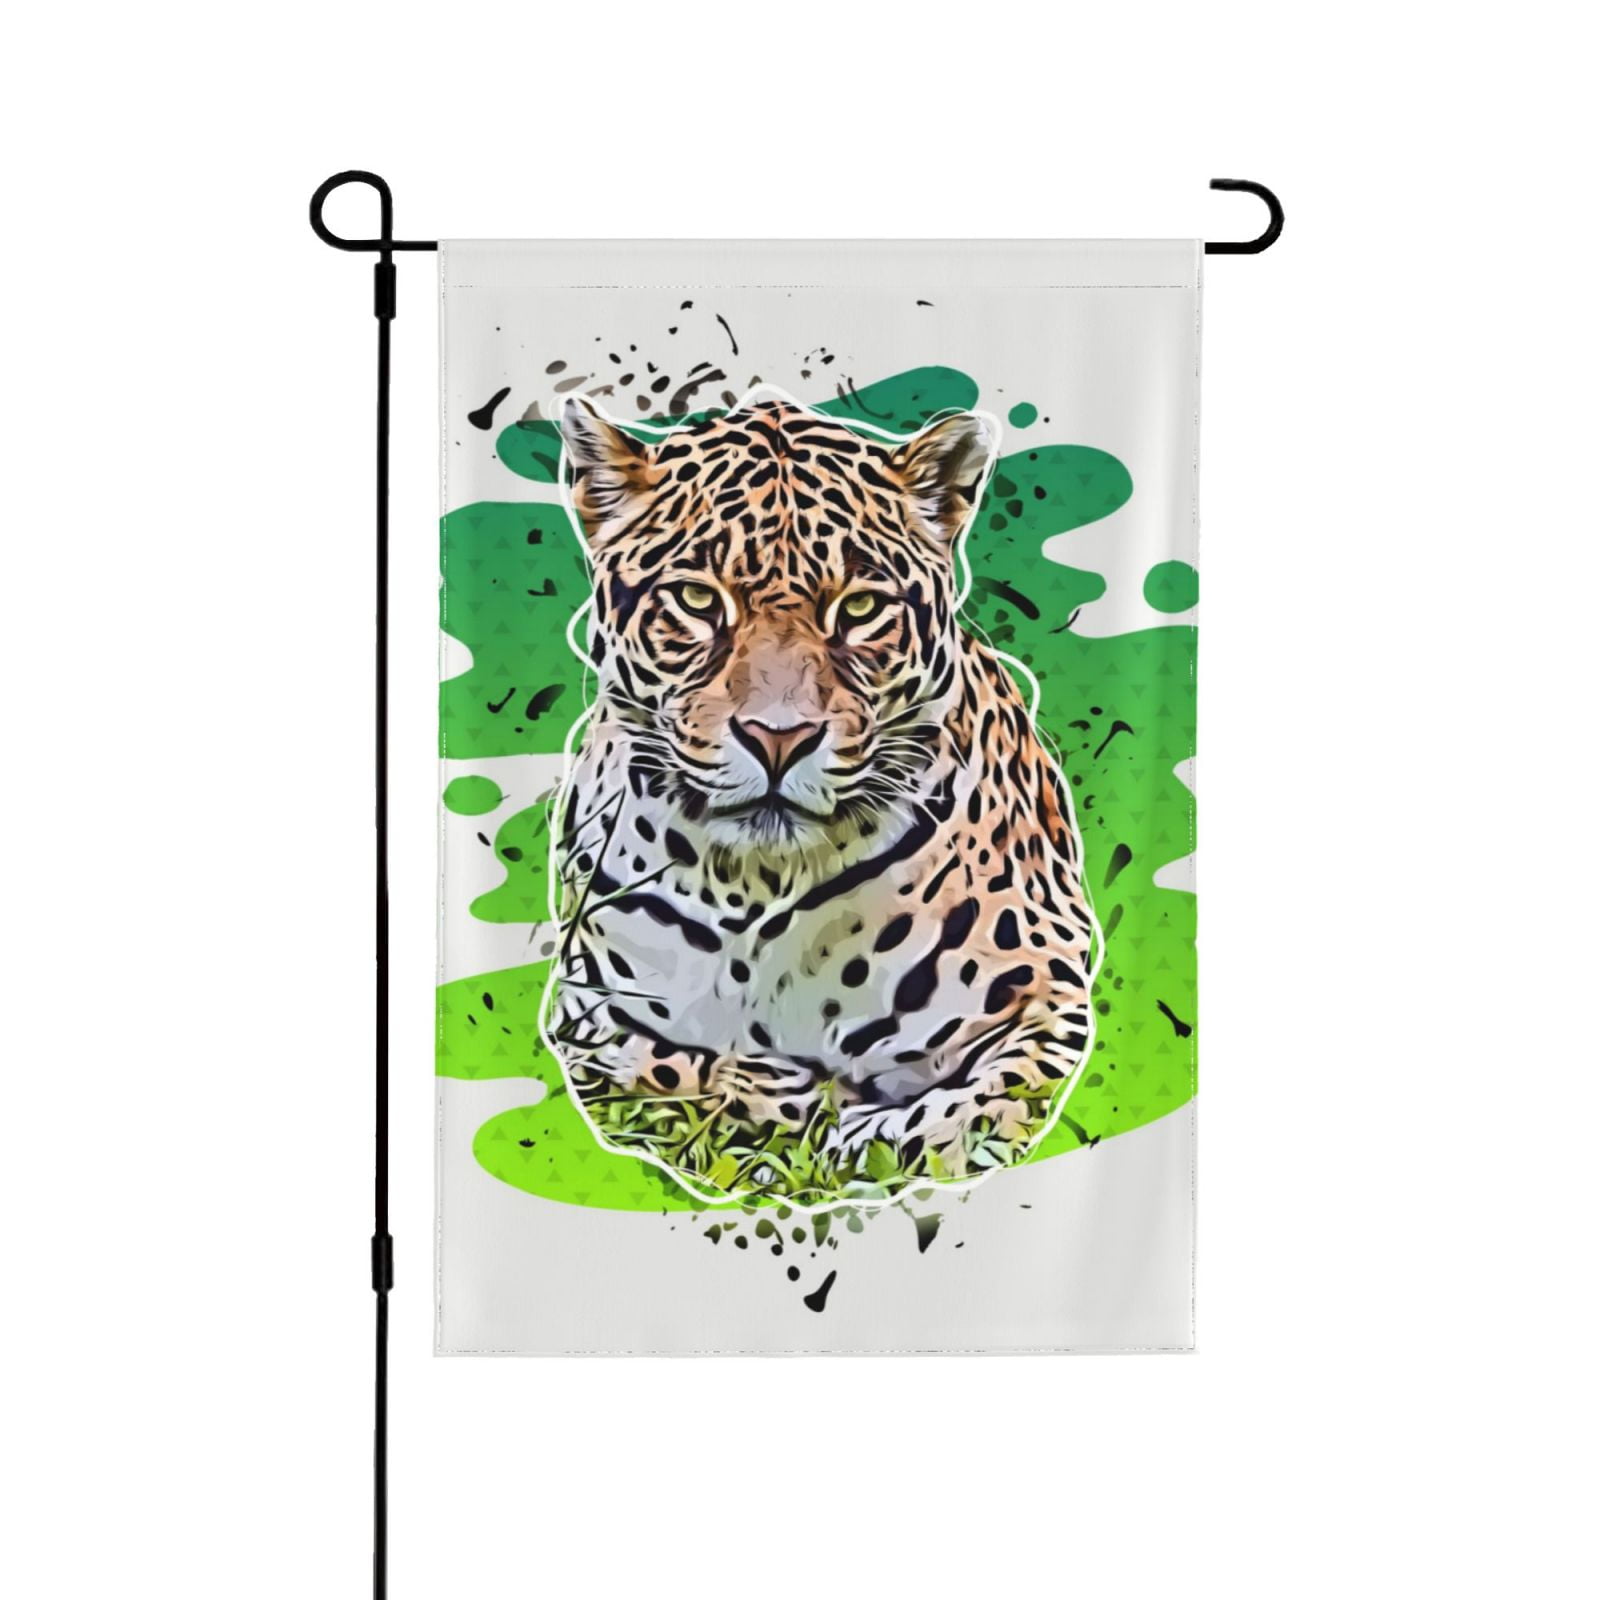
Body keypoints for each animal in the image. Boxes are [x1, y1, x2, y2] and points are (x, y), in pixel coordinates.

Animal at [543, 389, 1097, 1207]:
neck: (755, 887)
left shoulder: (1049, 988)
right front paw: (784, 1101)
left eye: (861, 607)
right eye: (696, 599)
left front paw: (876, 1140)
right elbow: (659, 1064)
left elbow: (983, 1109)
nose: (779, 739)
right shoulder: (583, 1006)